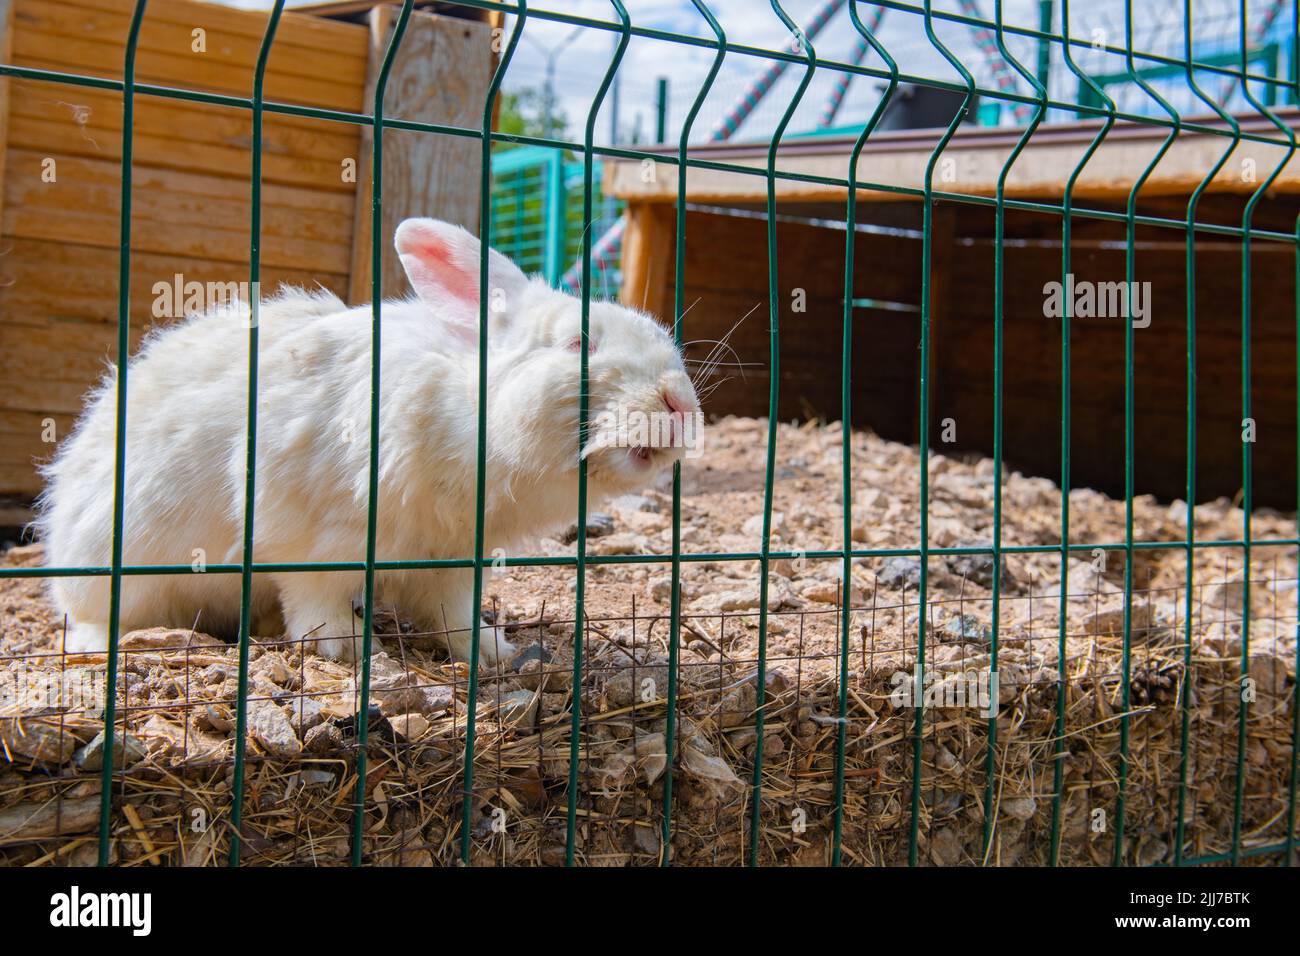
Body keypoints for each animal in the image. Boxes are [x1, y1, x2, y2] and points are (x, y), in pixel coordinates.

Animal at [37, 217, 701, 664]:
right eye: (577, 343)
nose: (680, 404)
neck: (470, 415)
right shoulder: (309, 537)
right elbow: (314, 599)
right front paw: (349, 648)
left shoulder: (452, 561)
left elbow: (455, 616)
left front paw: (494, 652)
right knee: (85, 613)